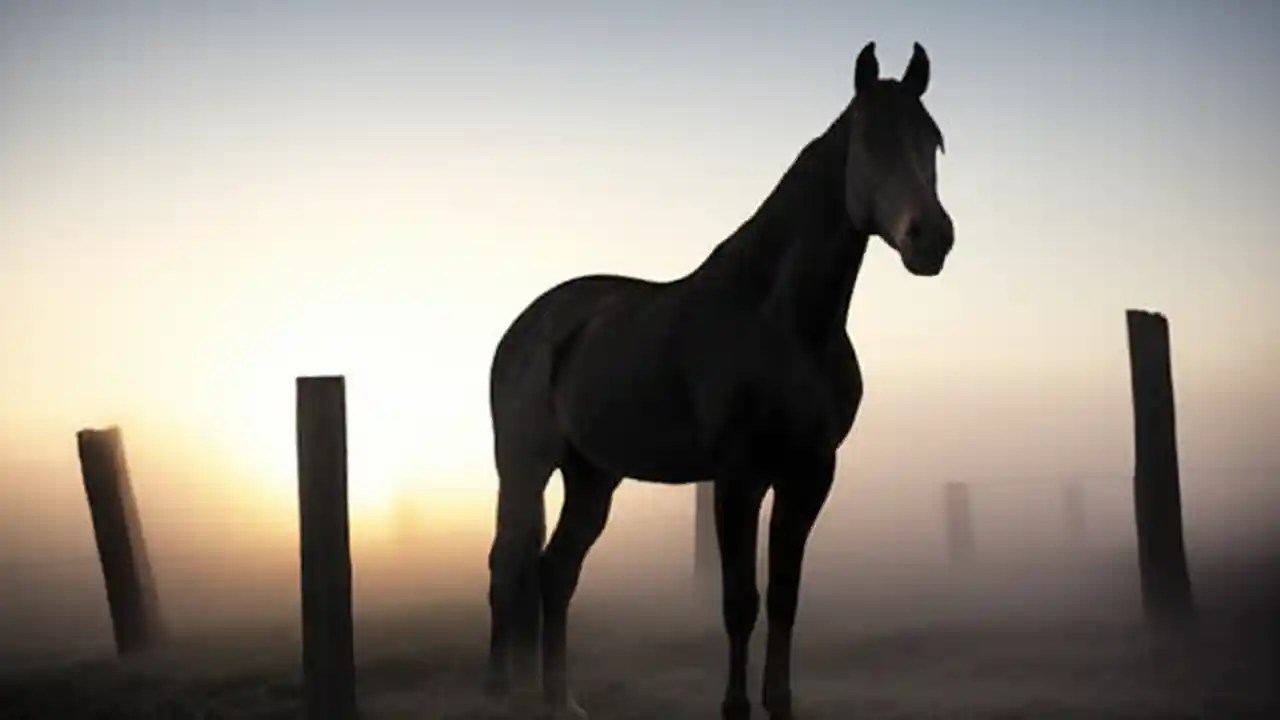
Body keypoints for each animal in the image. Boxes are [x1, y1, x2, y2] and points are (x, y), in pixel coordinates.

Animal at [485, 41, 954, 720]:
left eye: (933, 142)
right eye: (868, 139)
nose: (931, 238)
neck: (783, 319)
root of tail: (531, 323)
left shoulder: (810, 473)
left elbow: (784, 595)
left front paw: (779, 702)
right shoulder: (738, 476)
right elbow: (739, 600)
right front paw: (734, 706)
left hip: (593, 475)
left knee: (556, 570)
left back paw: (561, 700)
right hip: (525, 465)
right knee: (504, 565)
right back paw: (498, 691)